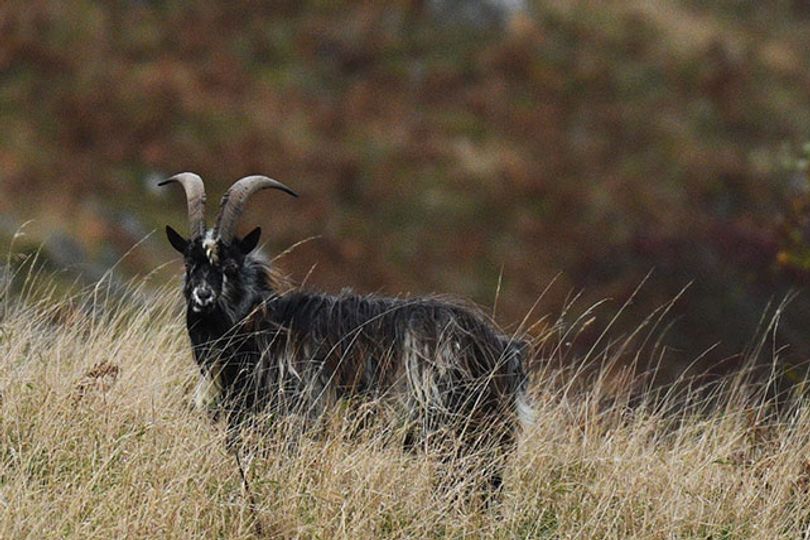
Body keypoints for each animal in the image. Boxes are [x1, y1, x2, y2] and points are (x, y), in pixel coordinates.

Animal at [161, 172, 535, 490]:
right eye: (189, 263)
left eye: (230, 266)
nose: (202, 296)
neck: (260, 324)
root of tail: (503, 350)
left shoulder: (291, 420)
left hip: (464, 433)